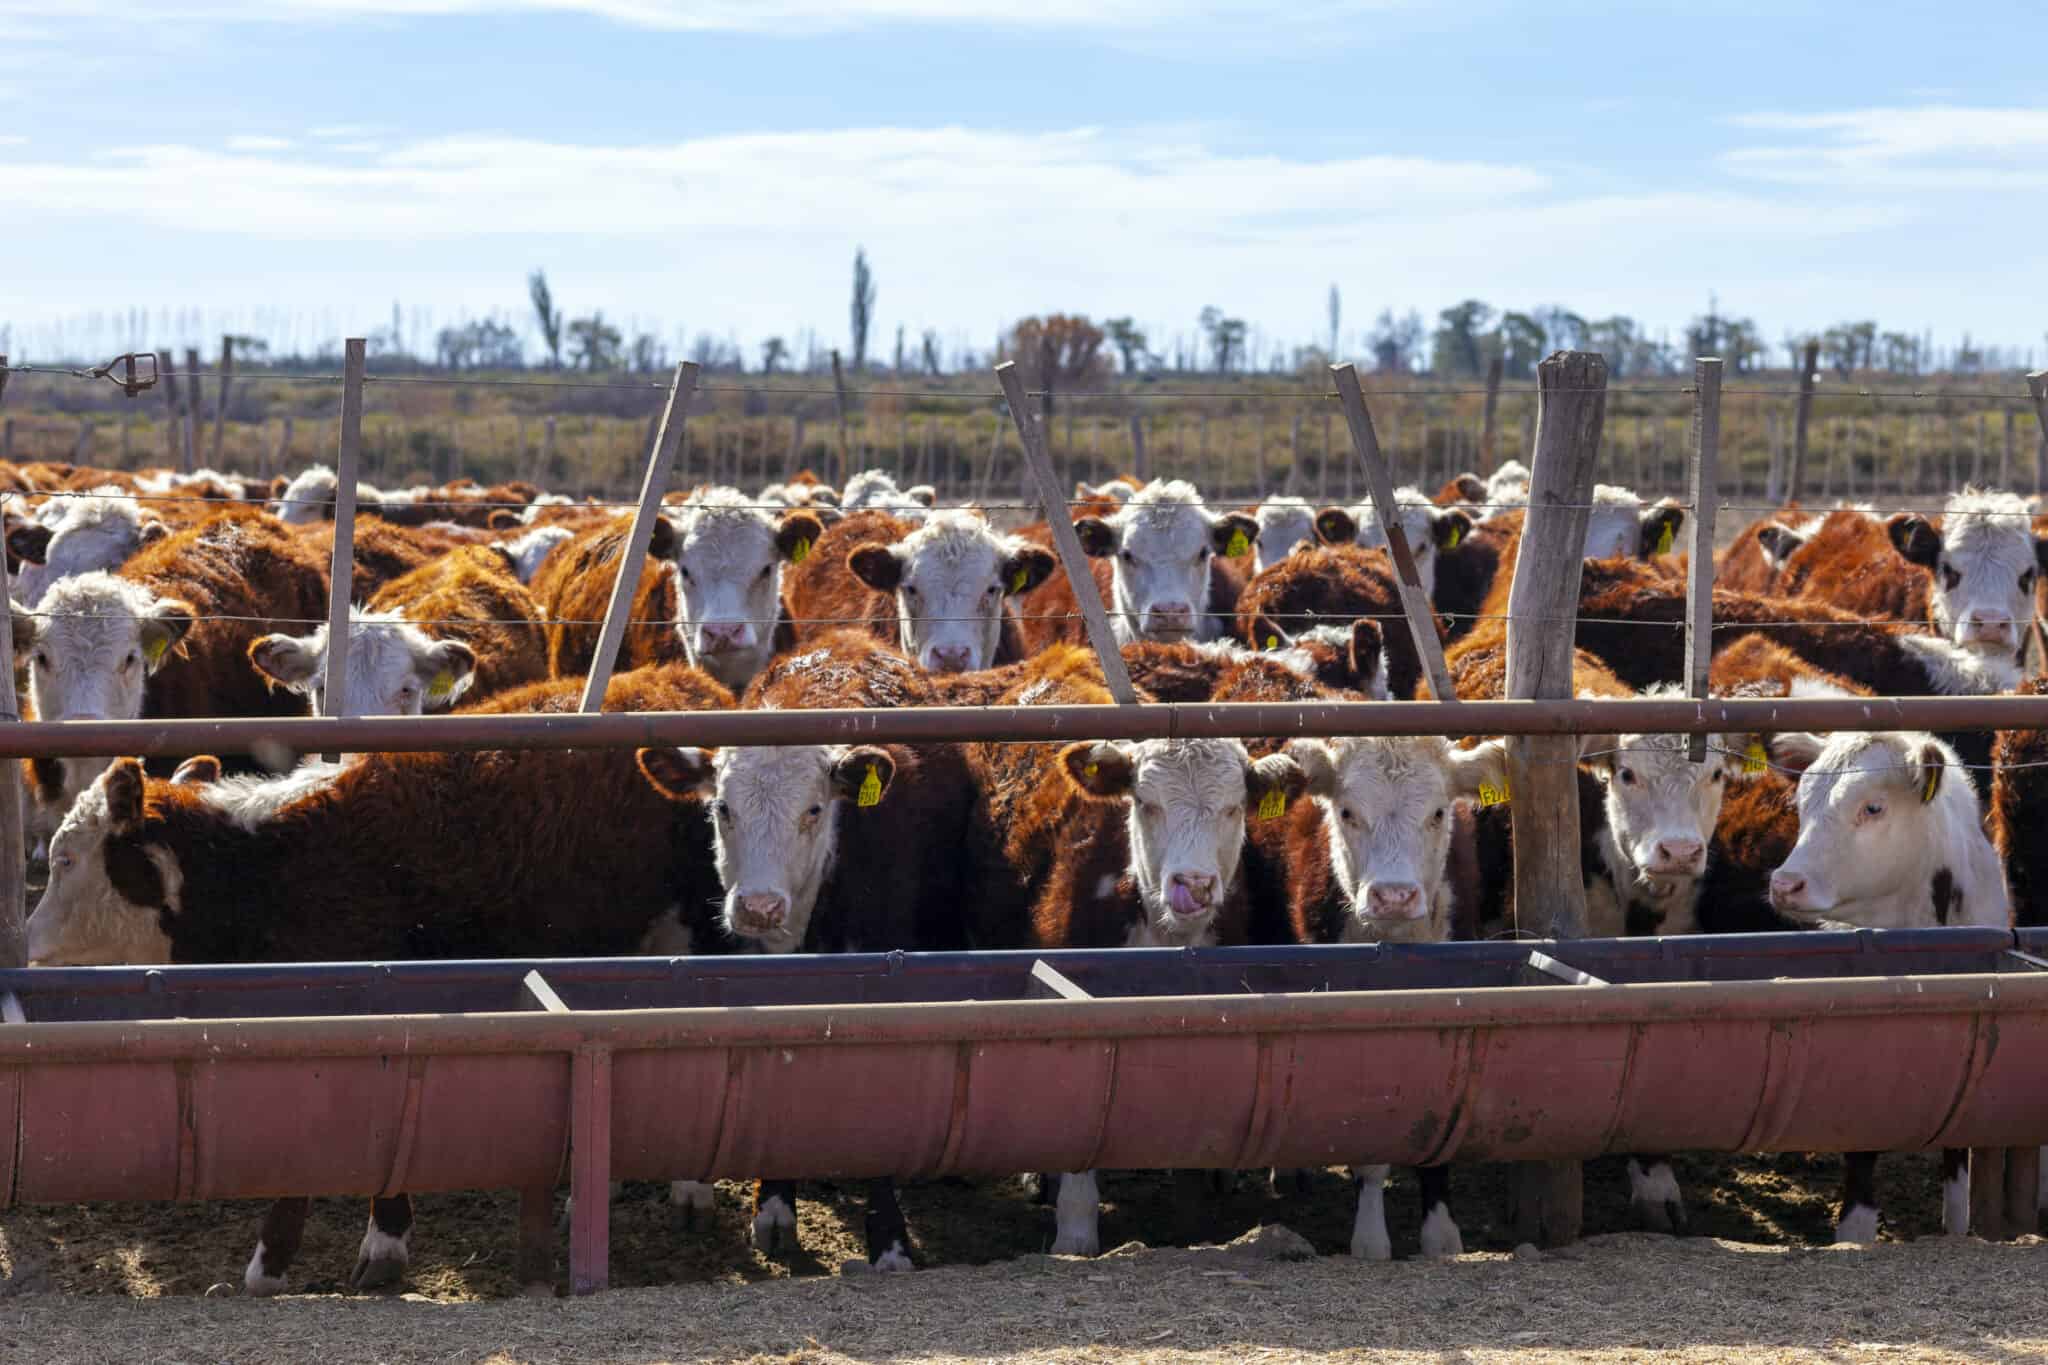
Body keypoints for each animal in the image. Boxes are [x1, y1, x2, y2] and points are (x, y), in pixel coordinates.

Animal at [26, 659, 734, 1295]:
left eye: (67, 860)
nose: (29, 945)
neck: (275, 871)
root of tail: (681, 681)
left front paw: (284, 1262)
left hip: (702, 933)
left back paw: (692, 1187)